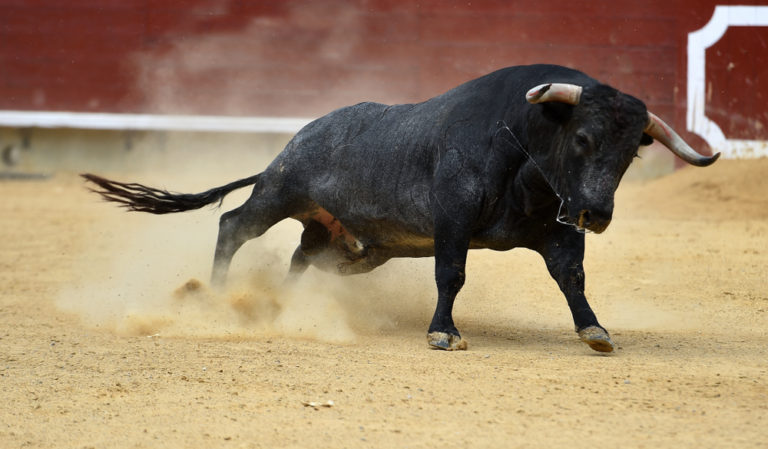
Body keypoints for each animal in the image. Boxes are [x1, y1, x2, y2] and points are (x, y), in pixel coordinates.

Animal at [82, 64, 718, 353]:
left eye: (630, 153)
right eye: (583, 138)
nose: (598, 213)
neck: (524, 144)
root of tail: (299, 136)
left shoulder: (559, 228)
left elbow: (572, 276)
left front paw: (594, 330)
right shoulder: (453, 219)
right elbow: (452, 273)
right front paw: (443, 334)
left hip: (348, 245)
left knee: (300, 257)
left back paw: (283, 305)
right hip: (281, 190)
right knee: (233, 224)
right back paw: (215, 295)